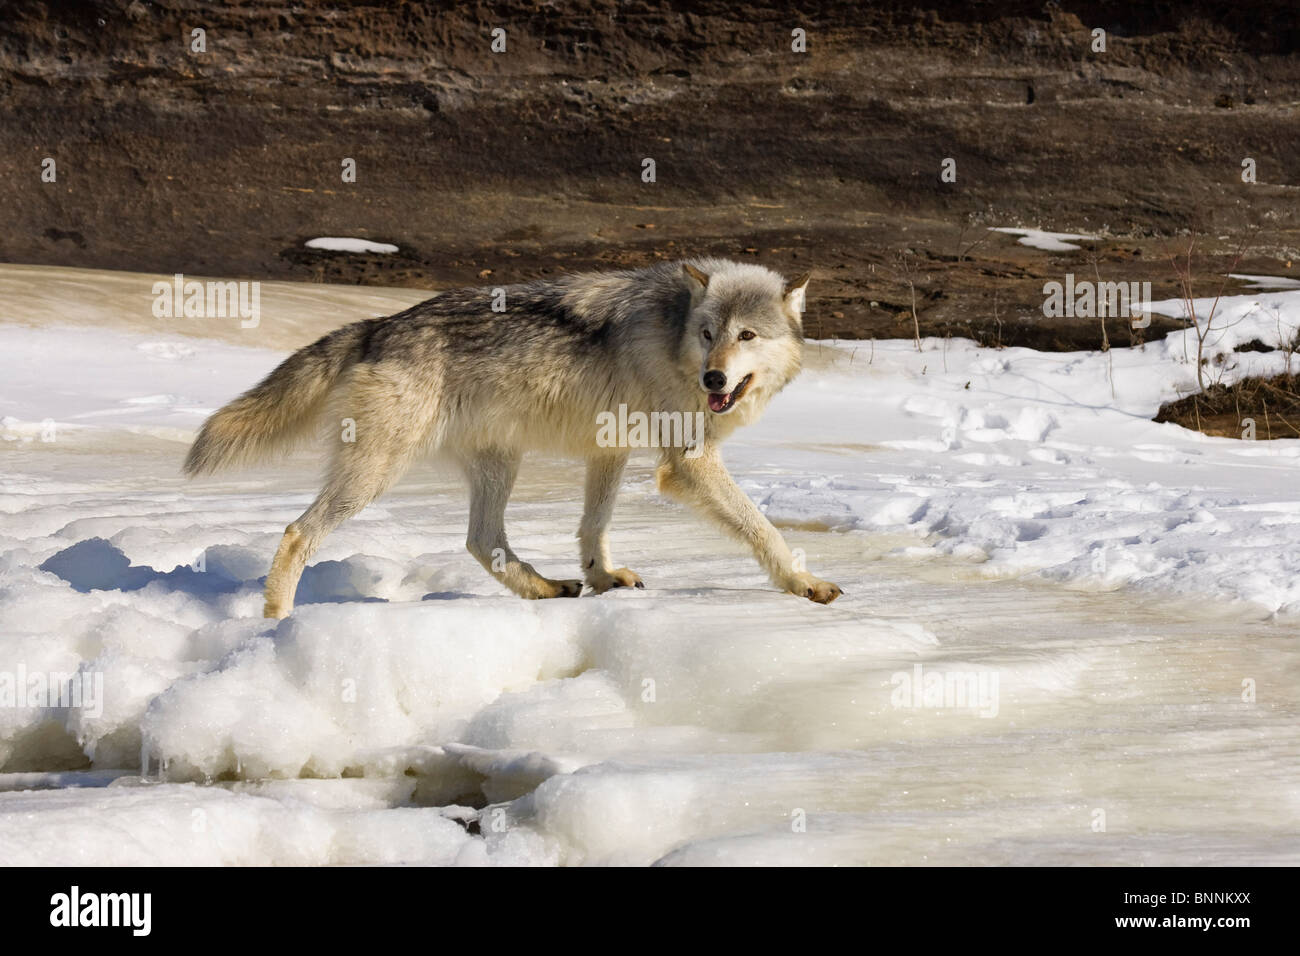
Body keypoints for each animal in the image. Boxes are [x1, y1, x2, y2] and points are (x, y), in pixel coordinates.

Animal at [184, 258, 842, 618]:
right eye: (709, 334)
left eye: (747, 335)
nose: (713, 378)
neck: (674, 331)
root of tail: (377, 325)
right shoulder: (687, 462)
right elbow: (763, 529)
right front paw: (803, 583)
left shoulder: (610, 448)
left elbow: (593, 528)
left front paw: (601, 578)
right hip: (378, 473)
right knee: (298, 532)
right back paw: (276, 619)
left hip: (499, 463)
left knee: (480, 541)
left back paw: (547, 587)